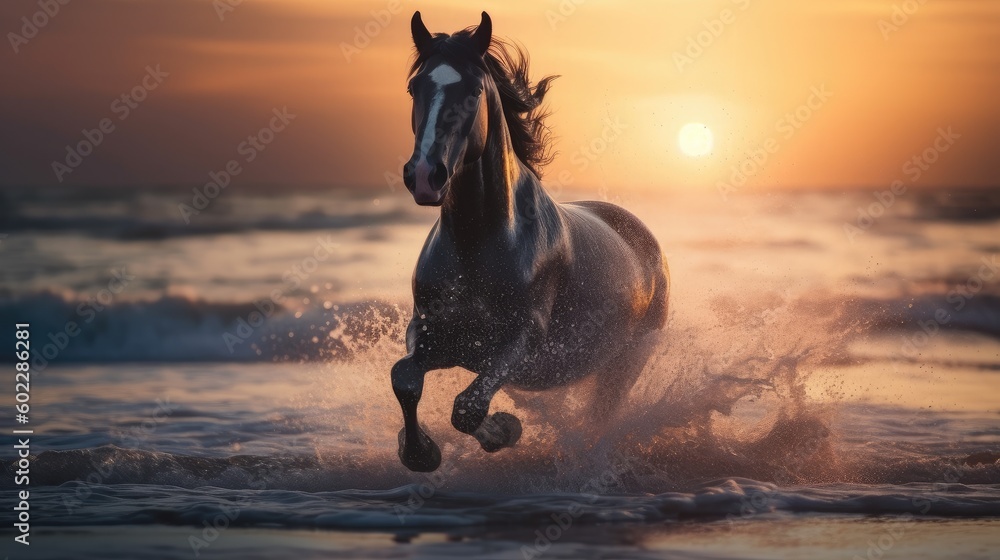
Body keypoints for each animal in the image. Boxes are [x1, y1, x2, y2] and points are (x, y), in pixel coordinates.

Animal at [392, 11, 670, 472]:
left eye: (473, 90)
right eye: (415, 87)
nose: (426, 175)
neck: (477, 243)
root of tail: (650, 246)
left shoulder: (523, 341)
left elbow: (467, 407)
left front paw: (504, 430)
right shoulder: (436, 334)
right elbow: (407, 380)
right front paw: (419, 451)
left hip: (625, 363)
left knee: (598, 419)